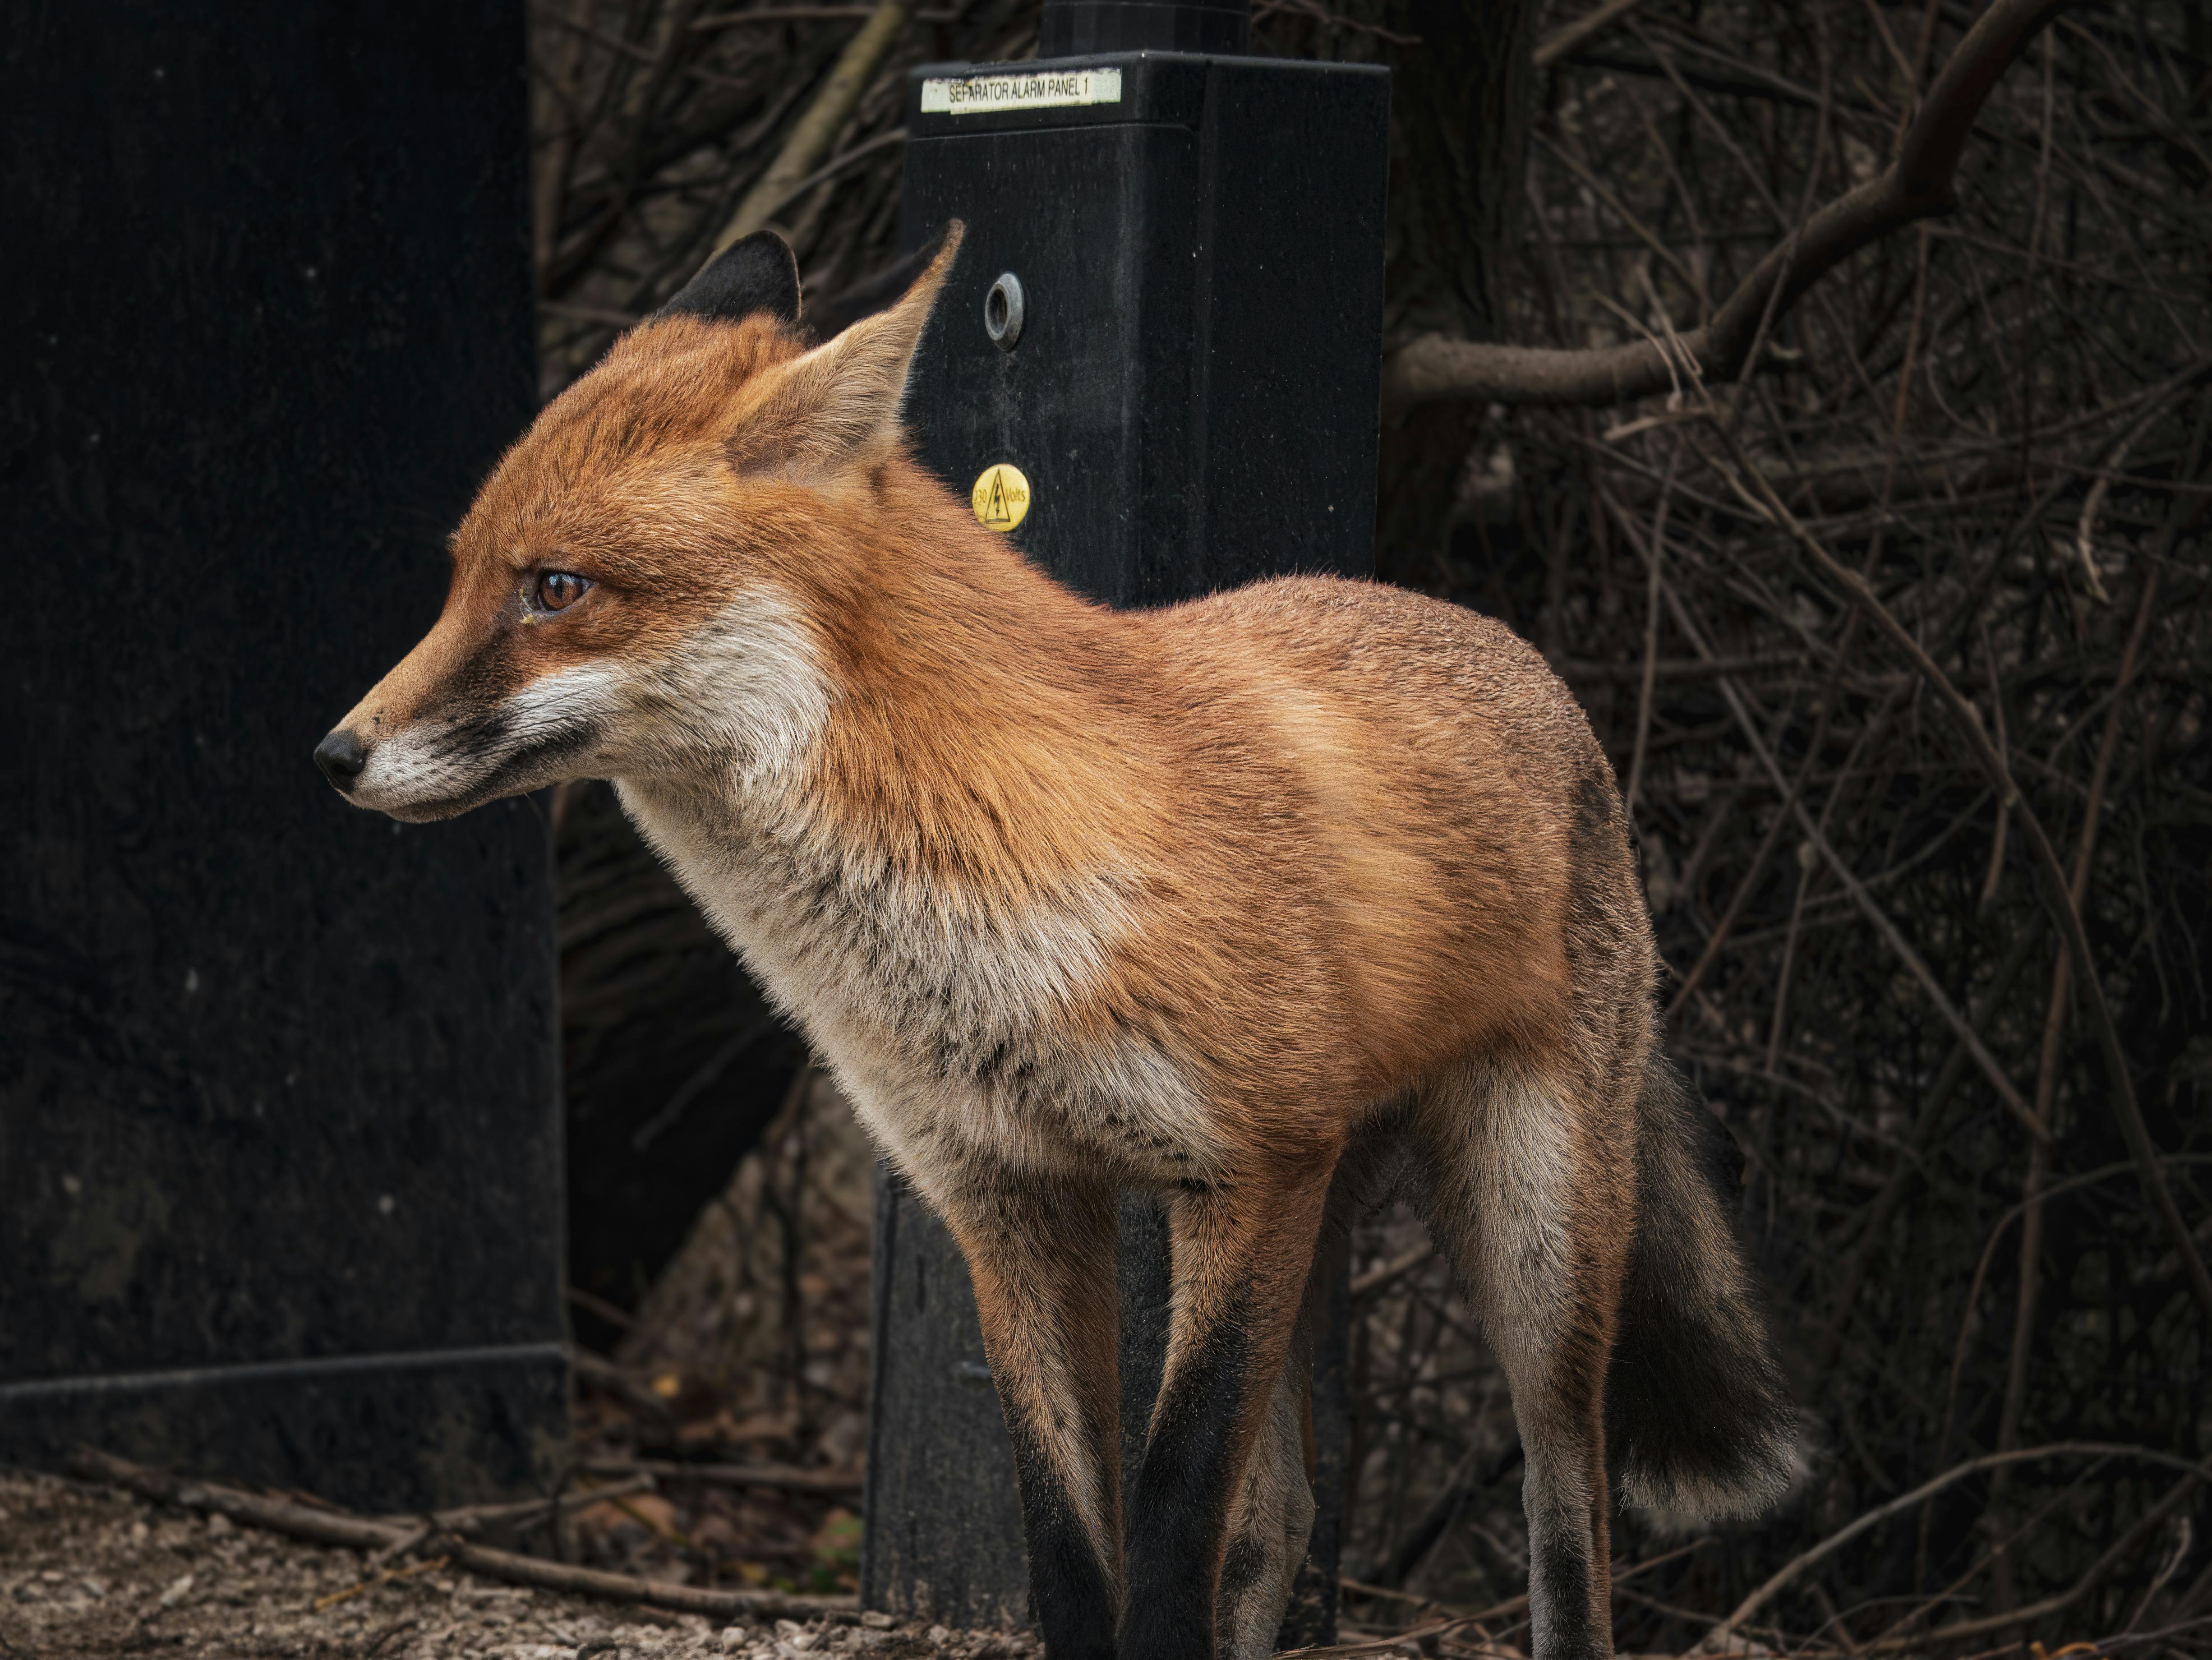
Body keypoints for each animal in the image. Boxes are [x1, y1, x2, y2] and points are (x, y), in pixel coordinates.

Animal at [313, 221, 1795, 1660]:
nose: (336, 753)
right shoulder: (1006, 1196)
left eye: (554, 588)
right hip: (1325, 1226)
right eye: (460, 577)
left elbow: (1170, 1513)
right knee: (1283, 1519)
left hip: (1532, 1243)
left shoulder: (1248, 1170)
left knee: (1566, 1520)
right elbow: (1070, 1550)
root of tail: (1516, 656)